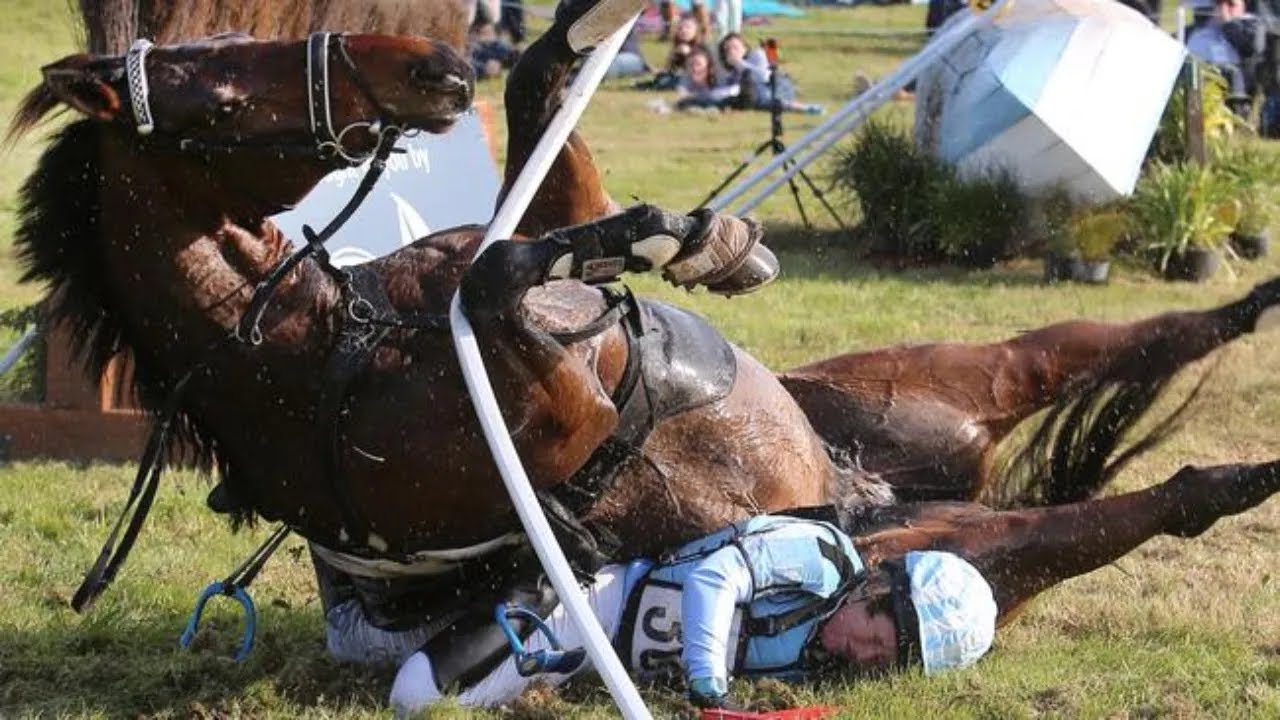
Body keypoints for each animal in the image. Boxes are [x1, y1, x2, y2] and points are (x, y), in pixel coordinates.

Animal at [12, 0, 1279, 641]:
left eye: (231, 48)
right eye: (222, 97)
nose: (431, 63)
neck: (326, 336)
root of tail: (870, 490)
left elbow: (535, 133)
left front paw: (676, 217)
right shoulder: (544, 428)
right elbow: (505, 271)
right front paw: (667, 236)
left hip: (959, 373)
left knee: (1131, 342)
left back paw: (1252, 297)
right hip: (927, 552)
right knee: (1152, 503)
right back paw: (1237, 473)